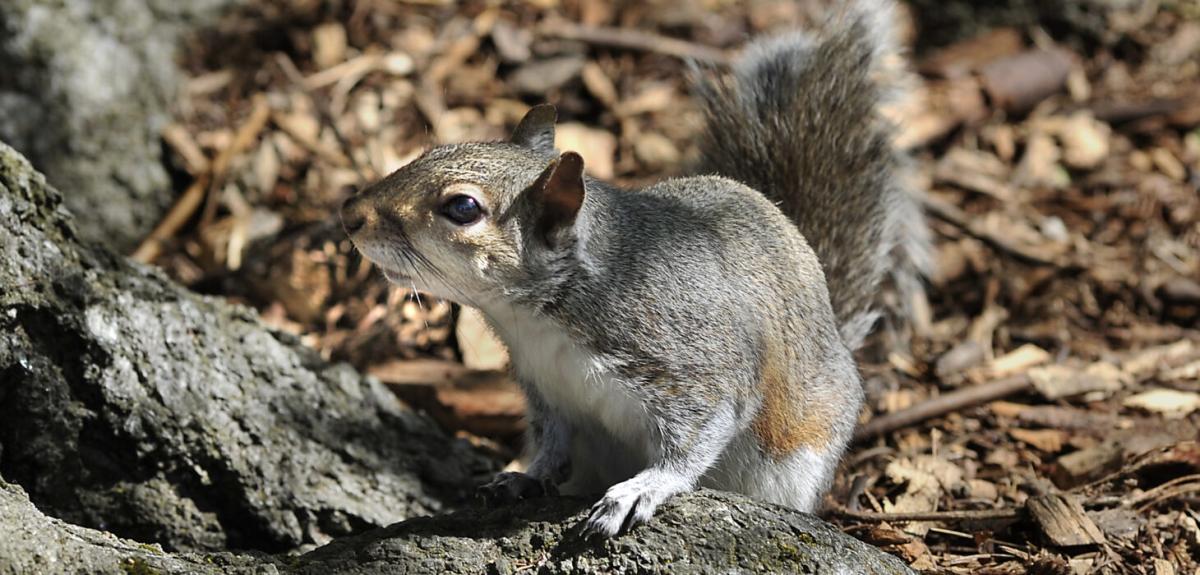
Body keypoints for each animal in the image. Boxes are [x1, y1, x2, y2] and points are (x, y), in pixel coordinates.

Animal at [341, 0, 930, 538]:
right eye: (435, 150)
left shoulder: (693, 364)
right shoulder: (549, 395)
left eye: (462, 208)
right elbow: (553, 447)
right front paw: (524, 476)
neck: (539, 319)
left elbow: (698, 436)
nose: (350, 214)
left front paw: (641, 489)